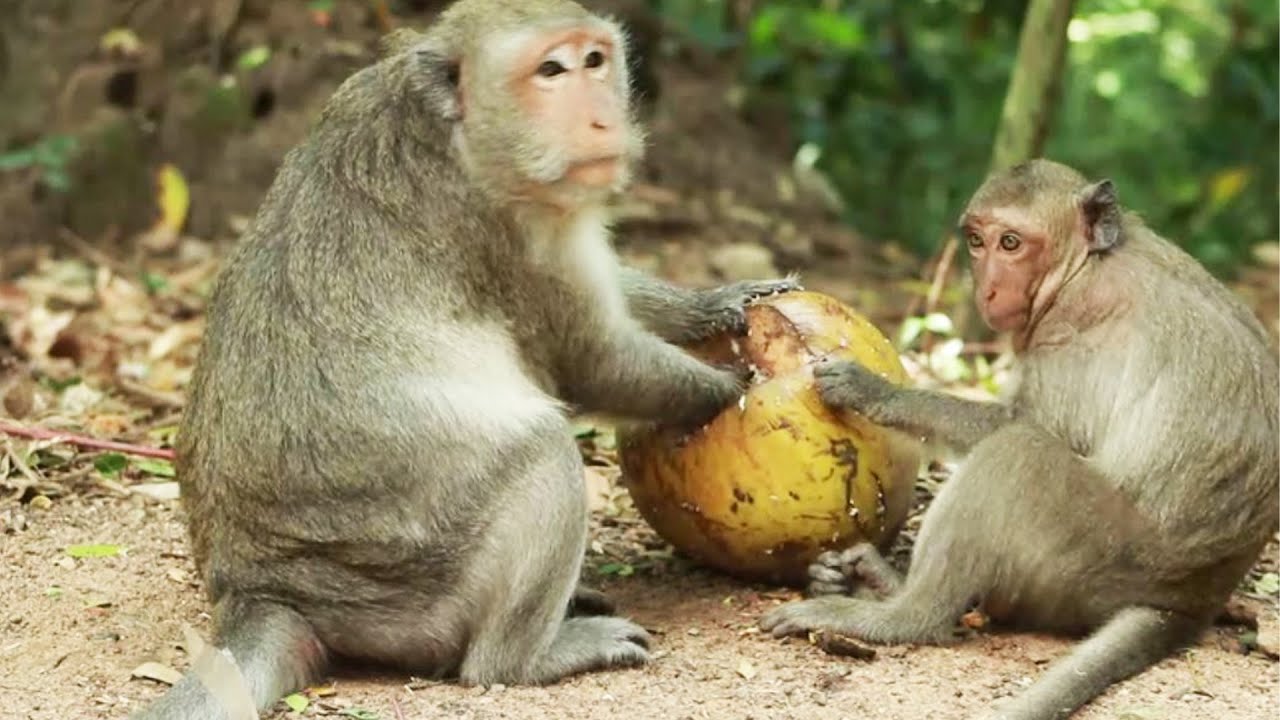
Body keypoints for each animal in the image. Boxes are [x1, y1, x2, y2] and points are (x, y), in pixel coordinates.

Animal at [131, 1, 797, 717]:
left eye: (595, 61)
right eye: (551, 70)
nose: (602, 119)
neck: (459, 136)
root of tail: (264, 590)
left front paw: (715, 304)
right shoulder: (507, 229)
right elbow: (592, 361)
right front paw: (732, 393)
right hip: (413, 590)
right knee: (540, 452)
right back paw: (528, 657)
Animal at [760, 159, 1279, 720]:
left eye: (1011, 243)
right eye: (977, 241)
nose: (987, 287)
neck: (1085, 265)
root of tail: (1191, 602)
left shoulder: (1074, 330)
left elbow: (1025, 426)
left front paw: (877, 393)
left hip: (1107, 555)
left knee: (1016, 455)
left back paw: (902, 613)